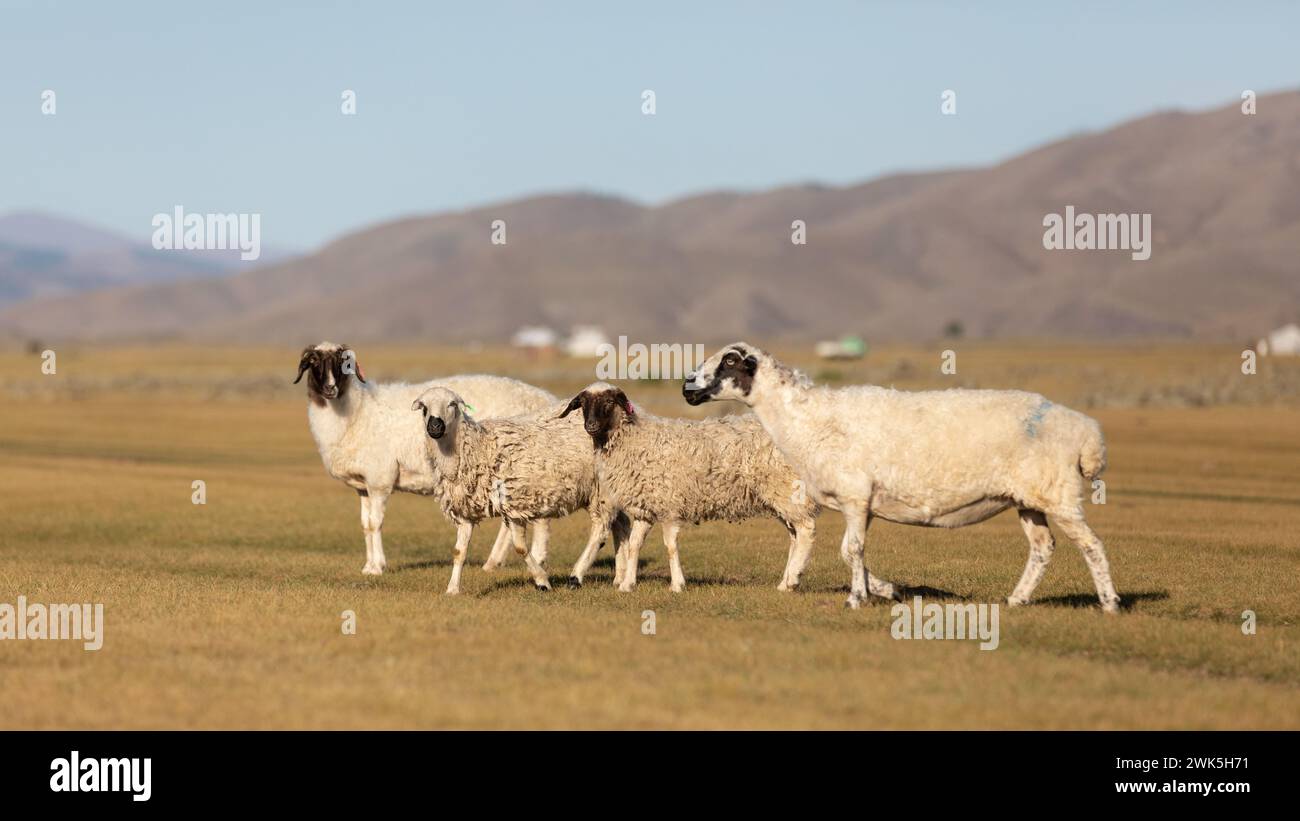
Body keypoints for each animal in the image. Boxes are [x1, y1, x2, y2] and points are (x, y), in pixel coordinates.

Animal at [295, 342, 556, 576]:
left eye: (343, 363)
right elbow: (365, 524)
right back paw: (496, 563)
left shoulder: (380, 479)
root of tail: (544, 398)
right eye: (313, 362)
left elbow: (375, 523)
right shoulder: (363, 486)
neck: (356, 411)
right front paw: (368, 566)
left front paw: (378, 567)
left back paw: (533, 560)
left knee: (538, 518)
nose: (330, 389)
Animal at [411, 386, 630, 594]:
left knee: (600, 530)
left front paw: (542, 581)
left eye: (452, 404)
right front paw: (452, 589)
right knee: (621, 526)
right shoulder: (466, 509)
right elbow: (459, 552)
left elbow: (520, 547)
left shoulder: (514, 503)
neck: (477, 448)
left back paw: (577, 576)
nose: (435, 426)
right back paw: (619, 578)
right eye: (423, 407)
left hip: (599, 490)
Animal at [559, 382, 826, 594]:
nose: (591, 426)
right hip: (783, 497)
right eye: (582, 404)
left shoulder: (669, 506)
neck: (634, 440)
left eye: (608, 402)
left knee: (806, 529)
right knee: (795, 535)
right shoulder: (646, 507)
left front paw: (677, 584)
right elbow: (634, 545)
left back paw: (793, 578)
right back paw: (786, 582)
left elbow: (670, 547)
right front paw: (627, 584)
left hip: (787, 490)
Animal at [683, 343, 1120, 612]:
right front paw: (883, 590)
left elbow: (852, 551)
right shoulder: (863, 504)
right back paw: (1017, 600)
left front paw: (857, 599)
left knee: (1092, 545)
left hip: (1059, 494)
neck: (806, 418)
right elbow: (851, 552)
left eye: (729, 362)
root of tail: (1084, 430)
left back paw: (1110, 603)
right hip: (1029, 500)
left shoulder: (855, 495)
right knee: (1043, 548)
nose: (688, 387)